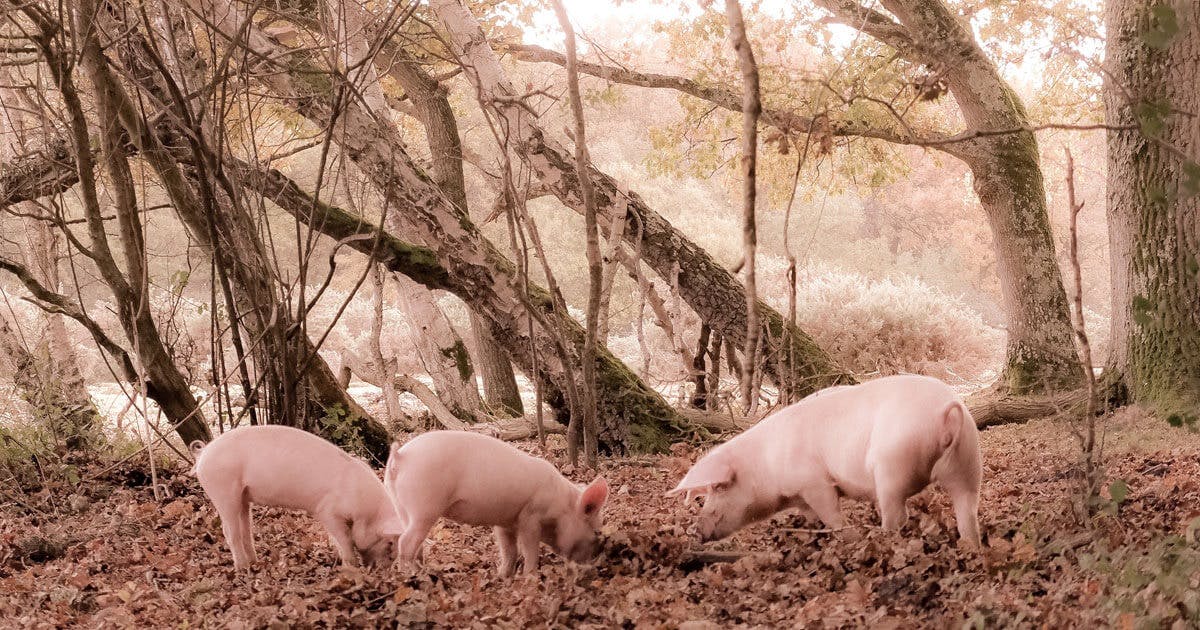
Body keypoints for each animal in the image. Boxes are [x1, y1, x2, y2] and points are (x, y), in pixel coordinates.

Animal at [191, 425, 404, 570]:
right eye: (390, 543)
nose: (384, 570)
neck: (365, 511)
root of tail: (203, 453)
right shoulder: (327, 511)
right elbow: (345, 539)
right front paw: (351, 567)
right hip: (223, 489)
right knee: (229, 532)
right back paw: (243, 568)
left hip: (242, 495)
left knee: (245, 529)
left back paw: (255, 563)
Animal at [383, 431, 609, 576]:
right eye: (596, 530)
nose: (594, 565)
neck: (561, 507)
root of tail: (401, 457)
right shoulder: (530, 517)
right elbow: (529, 549)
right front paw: (530, 577)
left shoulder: (505, 523)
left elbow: (509, 550)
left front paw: (503, 576)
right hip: (424, 507)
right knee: (406, 541)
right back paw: (412, 575)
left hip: (400, 504)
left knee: (409, 538)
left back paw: (422, 570)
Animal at [668, 374, 982, 547]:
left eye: (719, 489)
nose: (695, 531)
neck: (767, 465)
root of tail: (946, 413)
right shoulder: (800, 494)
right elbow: (812, 517)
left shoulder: (816, 483)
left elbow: (832, 515)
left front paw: (847, 539)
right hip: (968, 461)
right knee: (968, 511)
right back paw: (971, 547)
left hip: (892, 466)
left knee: (896, 514)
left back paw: (880, 539)